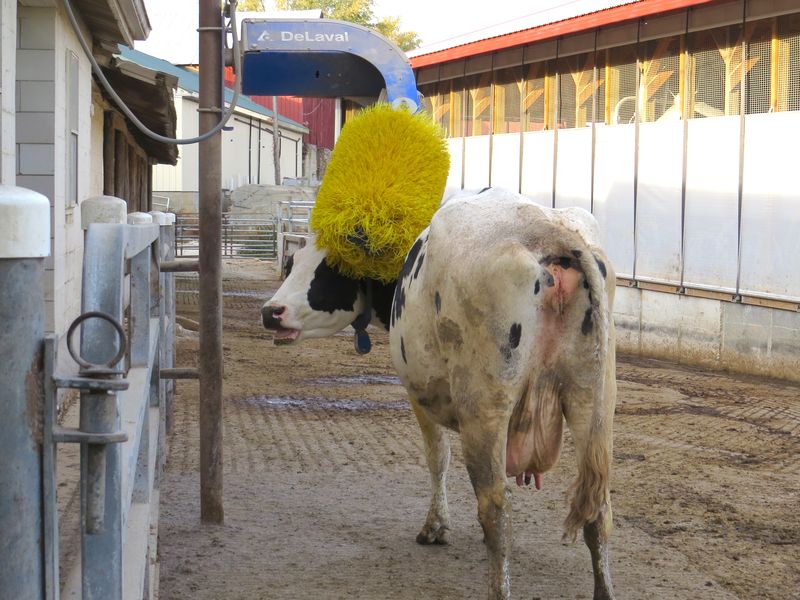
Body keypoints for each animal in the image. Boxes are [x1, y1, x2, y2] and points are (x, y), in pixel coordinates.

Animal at [261, 188, 617, 600]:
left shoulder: (421, 394)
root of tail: (547, 230)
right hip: (593, 402)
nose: (271, 312)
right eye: (293, 261)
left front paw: (435, 526)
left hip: (484, 408)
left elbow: (437, 457)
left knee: (496, 509)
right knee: (598, 509)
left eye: (330, 268)